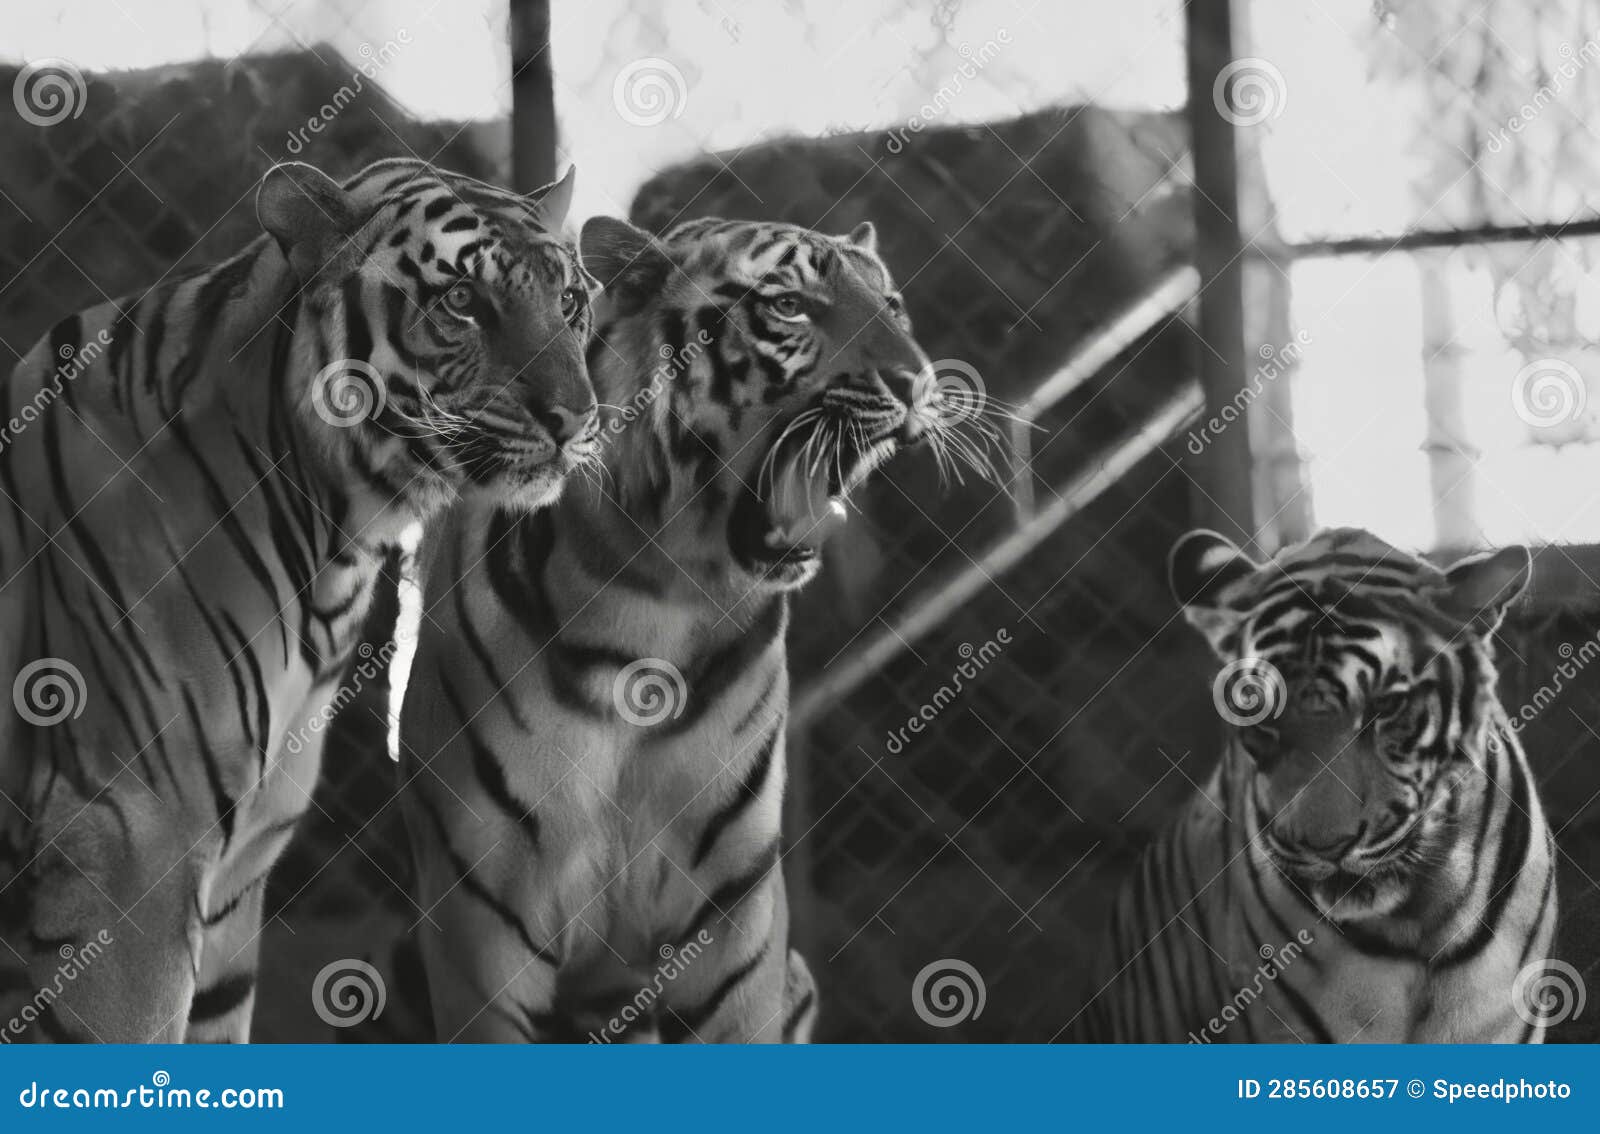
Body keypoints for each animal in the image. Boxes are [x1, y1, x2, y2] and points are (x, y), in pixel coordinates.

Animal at [0, 156, 598, 1042]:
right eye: (462, 301)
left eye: (570, 302)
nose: (576, 417)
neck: (338, 538)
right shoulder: (128, 836)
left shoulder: (241, 859)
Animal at [397, 212, 980, 1042]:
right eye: (790, 307)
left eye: (893, 306)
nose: (921, 382)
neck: (658, 611)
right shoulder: (482, 926)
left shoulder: (734, 914)